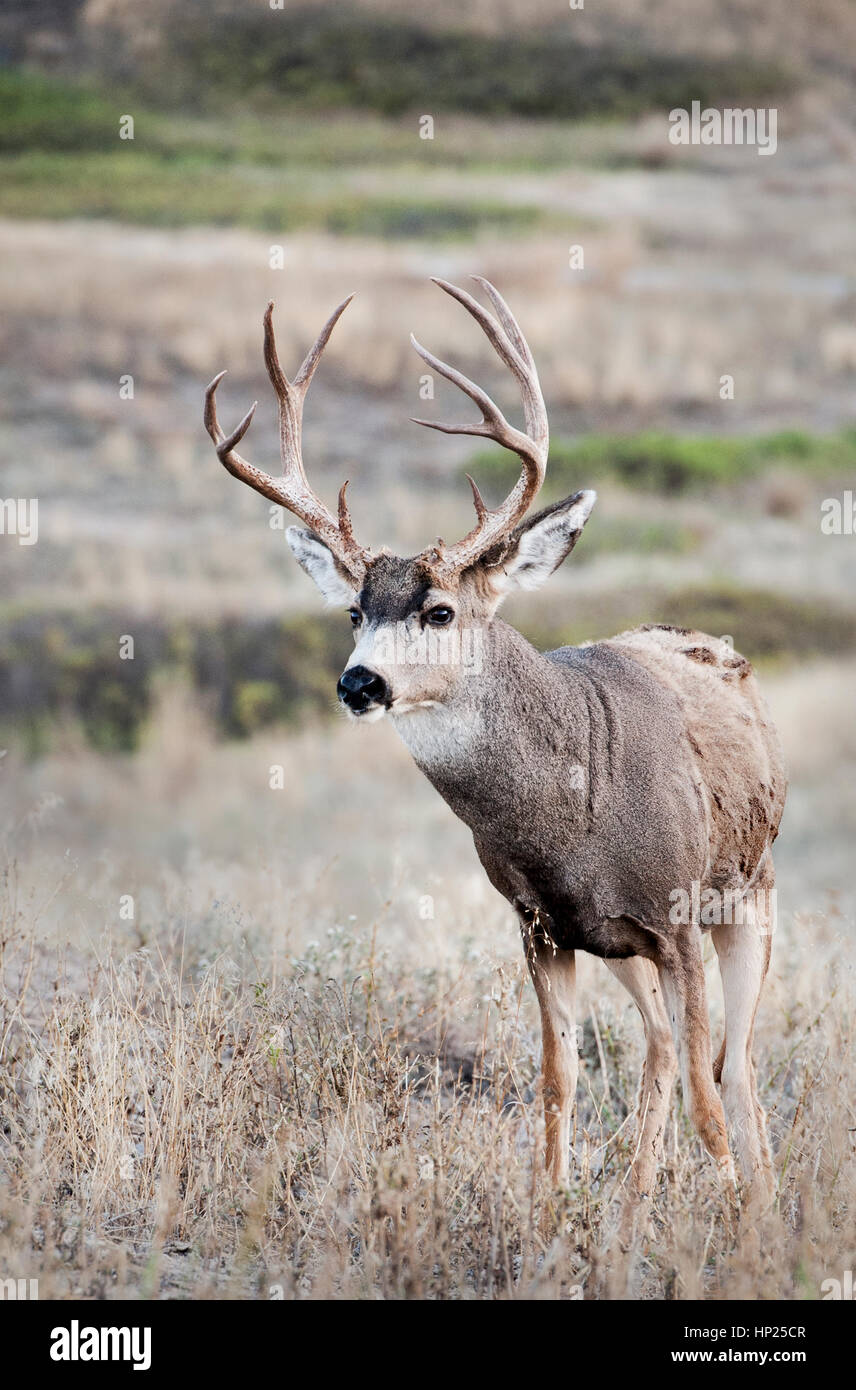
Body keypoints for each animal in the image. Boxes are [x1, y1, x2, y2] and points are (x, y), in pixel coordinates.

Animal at [204, 277, 787, 1236]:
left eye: (440, 610)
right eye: (354, 611)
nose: (358, 682)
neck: (574, 816)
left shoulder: (674, 917)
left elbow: (711, 1097)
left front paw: (741, 1229)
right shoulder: (541, 924)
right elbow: (557, 1080)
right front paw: (548, 1220)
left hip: (750, 892)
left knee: (731, 1069)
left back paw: (755, 1199)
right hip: (624, 948)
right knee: (663, 1048)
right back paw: (632, 1206)